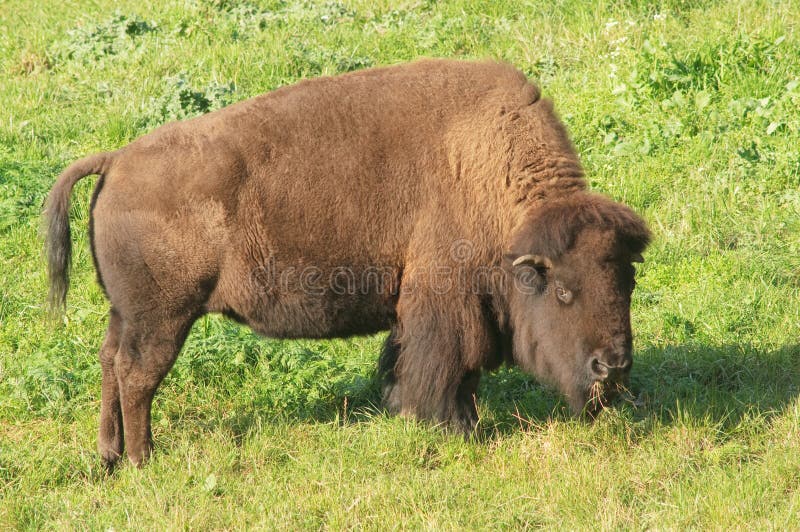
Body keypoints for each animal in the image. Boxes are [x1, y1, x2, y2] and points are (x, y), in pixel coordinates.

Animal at [45, 59, 650, 467]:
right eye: (564, 291)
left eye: (628, 282)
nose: (613, 366)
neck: (490, 174)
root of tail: (118, 160)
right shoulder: (446, 306)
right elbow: (445, 373)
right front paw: (457, 430)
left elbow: (418, 366)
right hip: (163, 318)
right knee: (137, 375)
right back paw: (142, 458)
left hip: (127, 314)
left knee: (109, 364)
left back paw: (109, 456)